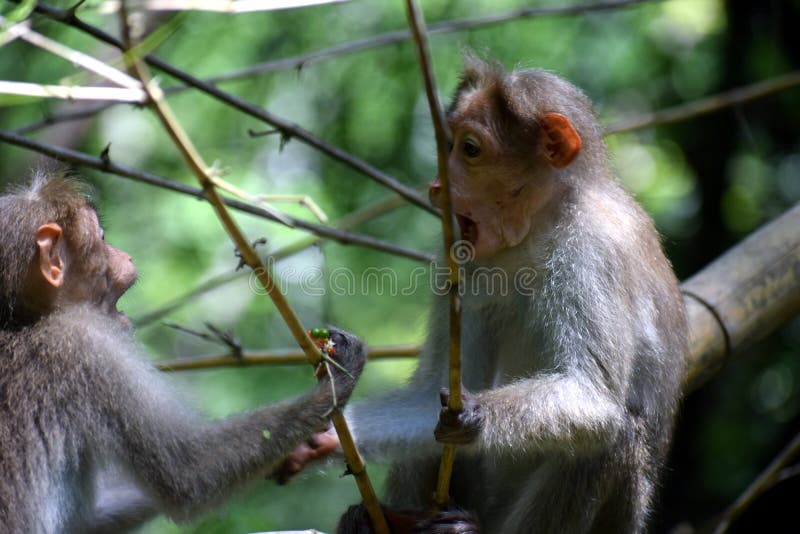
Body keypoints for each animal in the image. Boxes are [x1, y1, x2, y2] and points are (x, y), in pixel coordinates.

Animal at [0, 171, 367, 533]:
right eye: (102, 238)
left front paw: (304, 449)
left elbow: (88, 522)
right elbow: (188, 475)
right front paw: (336, 380)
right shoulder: (85, 344)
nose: (126, 255)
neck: (27, 320)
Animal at [324, 57, 689, 533]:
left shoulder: (594, 250)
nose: (437, 187)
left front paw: (473, 415)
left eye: (470, 149)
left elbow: (593, 397)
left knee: (613, 437)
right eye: (450, 144)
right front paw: (323, 434)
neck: (536, 227)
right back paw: (383, 520)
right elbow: (433, 389)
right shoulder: (459, 259)